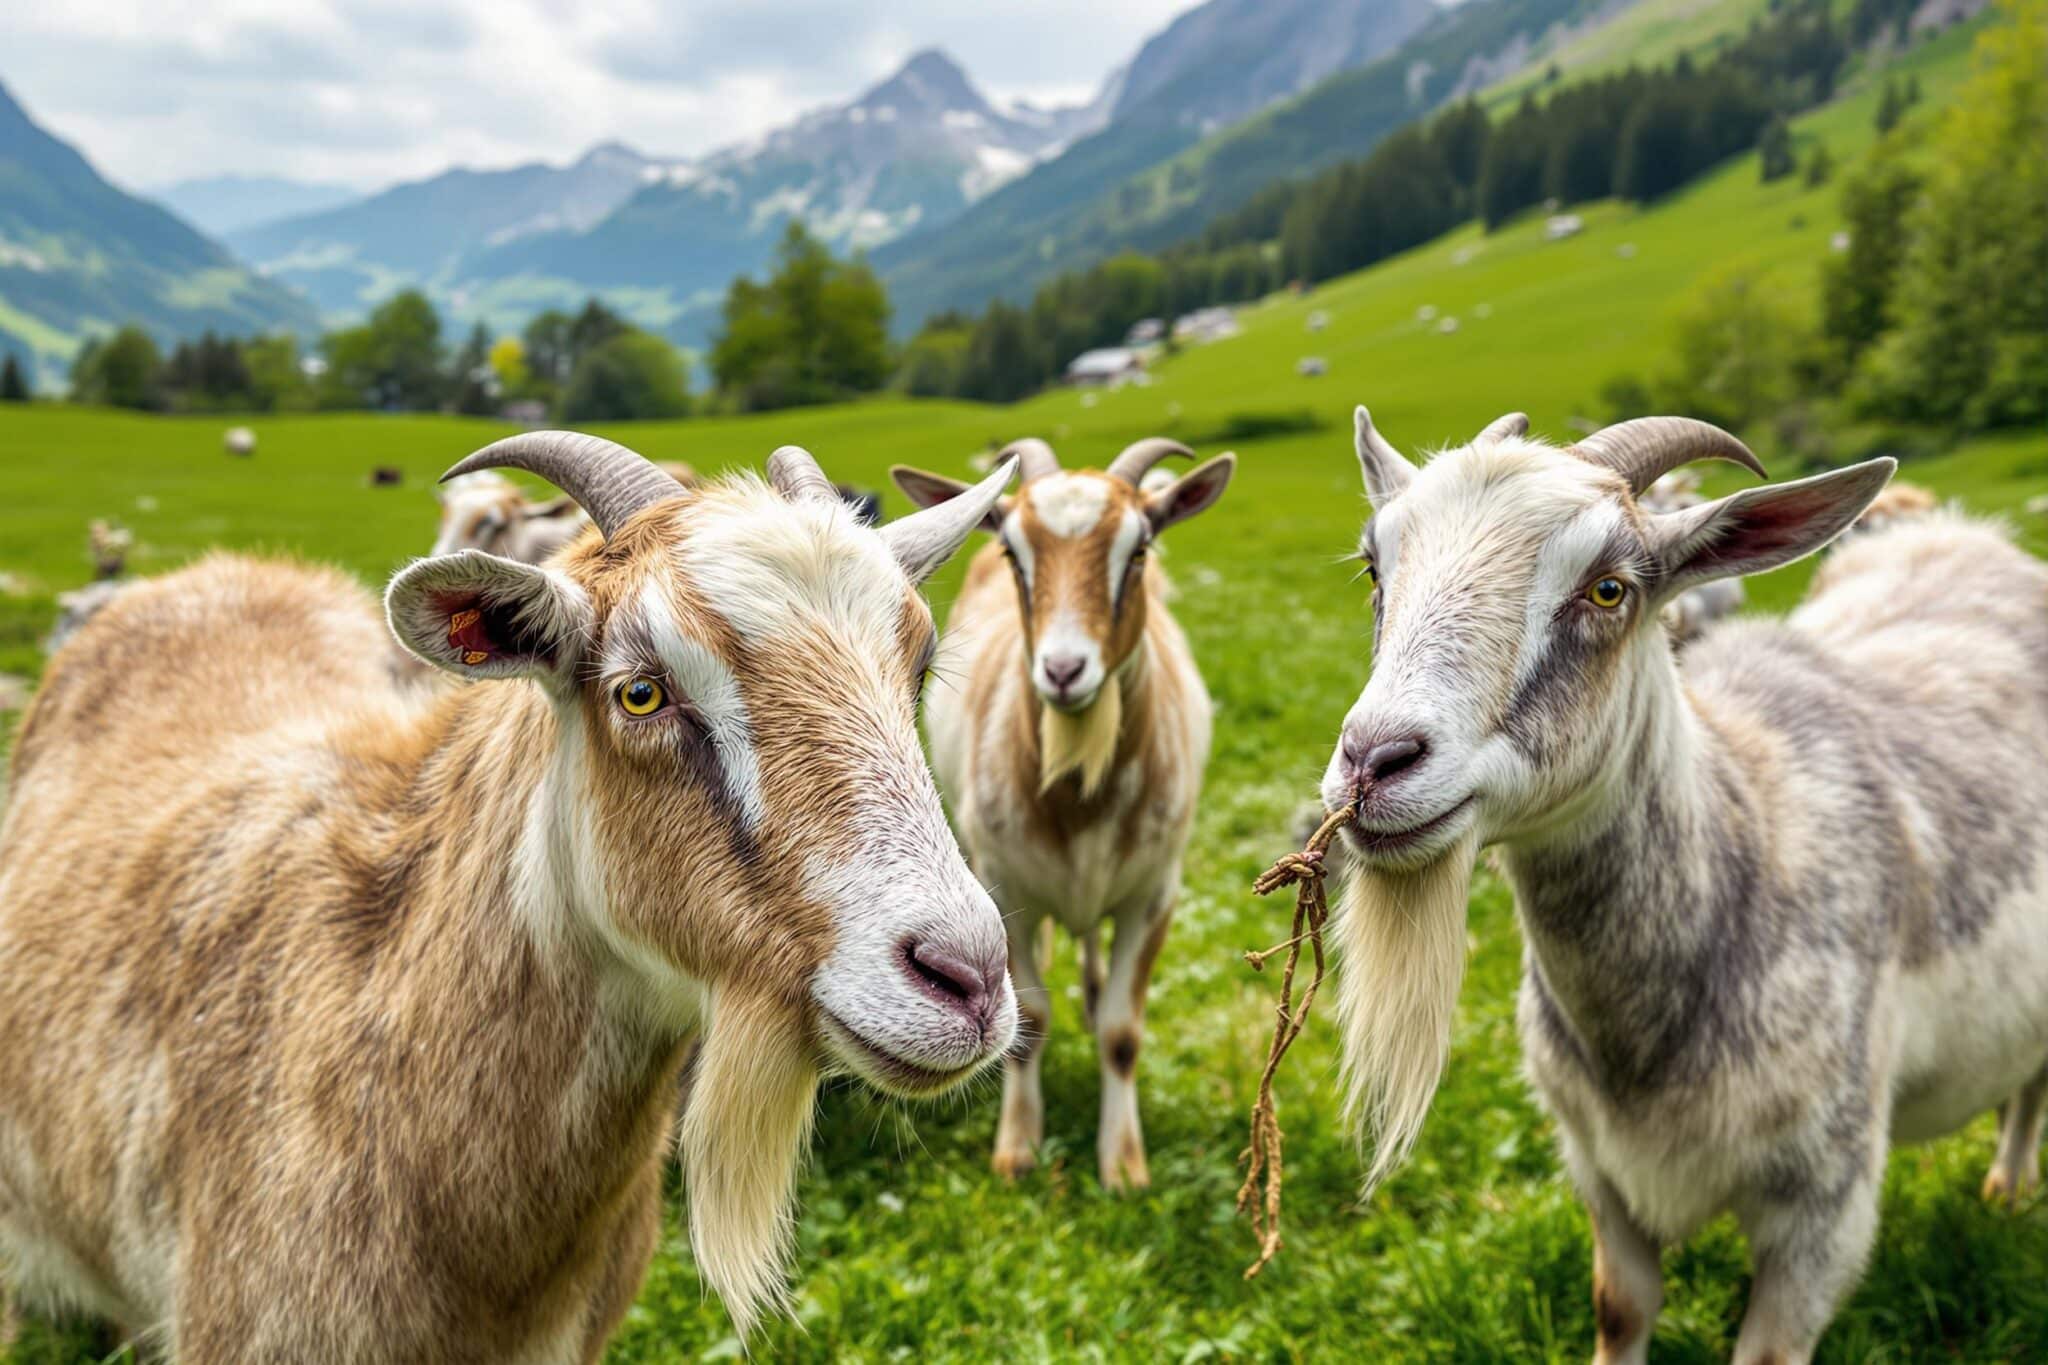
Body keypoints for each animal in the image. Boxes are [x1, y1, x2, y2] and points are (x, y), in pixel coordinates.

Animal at [892, 436, 1233, 1189]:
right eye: (1014, 553)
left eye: (1139, 549)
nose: (1064, 671)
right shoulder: (1002, 888)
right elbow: (1030, 1021)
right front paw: (1018, 1146)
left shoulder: (1153, 892)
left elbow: (1121, 1032)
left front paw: (1124, 1162)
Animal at [1318, 404, 2048, 1365]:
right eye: (1376, 566)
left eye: (1608, 589)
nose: (1373, 761)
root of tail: (1962, 536)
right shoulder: (1599, 1168)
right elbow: (1620, 1306)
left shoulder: (1827, 1201)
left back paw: (2008, 1184)